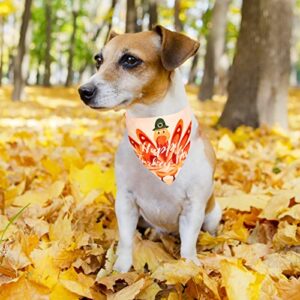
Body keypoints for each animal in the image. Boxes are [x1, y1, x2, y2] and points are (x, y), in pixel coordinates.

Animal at [78, 25, 221, 274]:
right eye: (99, 60)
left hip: (212, 213)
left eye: (130, 60)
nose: (83, 91)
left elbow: (188, 245)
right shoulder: (125, 201)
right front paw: (120, 269)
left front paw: (189, 267)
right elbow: (126, 240)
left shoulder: (193, 206)